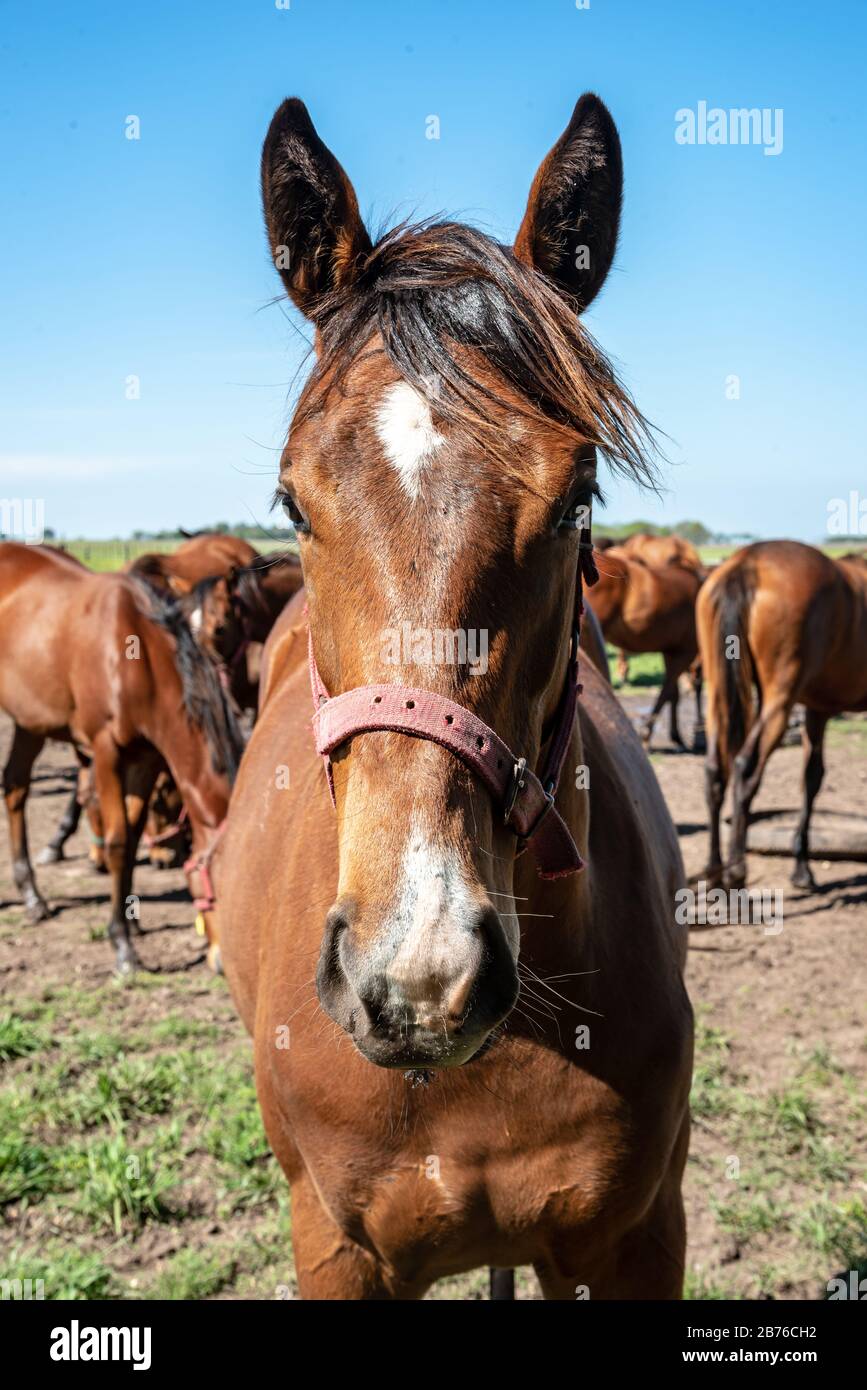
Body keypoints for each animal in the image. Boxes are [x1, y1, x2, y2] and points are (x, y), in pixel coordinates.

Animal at [0, 543, 243, 972]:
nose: (221, 963)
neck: (138, 657)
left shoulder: (145, 760)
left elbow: (130, 843)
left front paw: (130, 922)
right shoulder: (105, 751)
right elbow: (115, 843)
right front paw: (123, 946)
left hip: (32, 721)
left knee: (14, 788)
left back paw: (32, 896)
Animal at [586, 545, 704, 750]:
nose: (700, 733)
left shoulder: (670, 651)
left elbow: (673, 694)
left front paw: (676, 735)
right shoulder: (685, 652)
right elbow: (666, 691)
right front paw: (647, 734)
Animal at [697, 540, 867, 889]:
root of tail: (747, 562)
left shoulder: (818, 710)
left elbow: (811, 778)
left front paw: (801, 866)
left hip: (717, 694)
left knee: (714, 771)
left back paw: (714, 870)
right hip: (780, 700)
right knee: (745, 768)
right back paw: (736, 871)